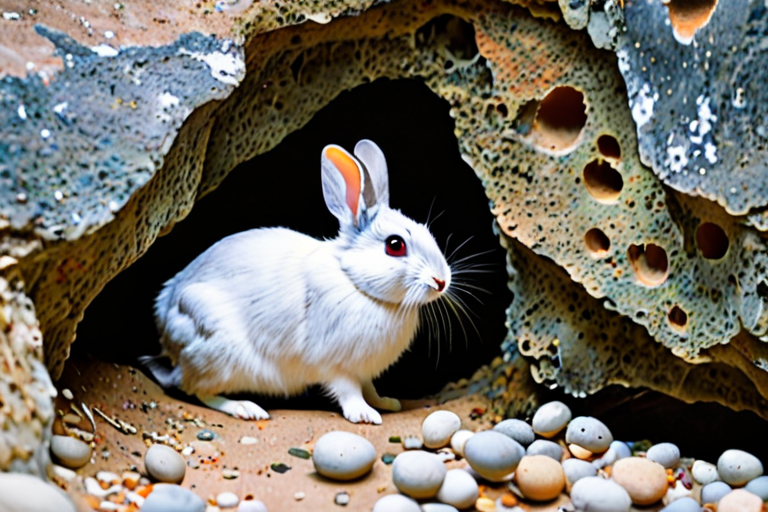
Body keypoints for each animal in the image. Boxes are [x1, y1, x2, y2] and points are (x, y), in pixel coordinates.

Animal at [141, 140, 451, 424]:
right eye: (395, 245)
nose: (441, 281)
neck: (355, 282)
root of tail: (167, 336)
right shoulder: (334, 365)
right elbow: (349, 391)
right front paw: (364, 415)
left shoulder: (362, 370)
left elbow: (369, 388)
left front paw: (387, 403)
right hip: (218, 351)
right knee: (195, 389)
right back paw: (246, 408)